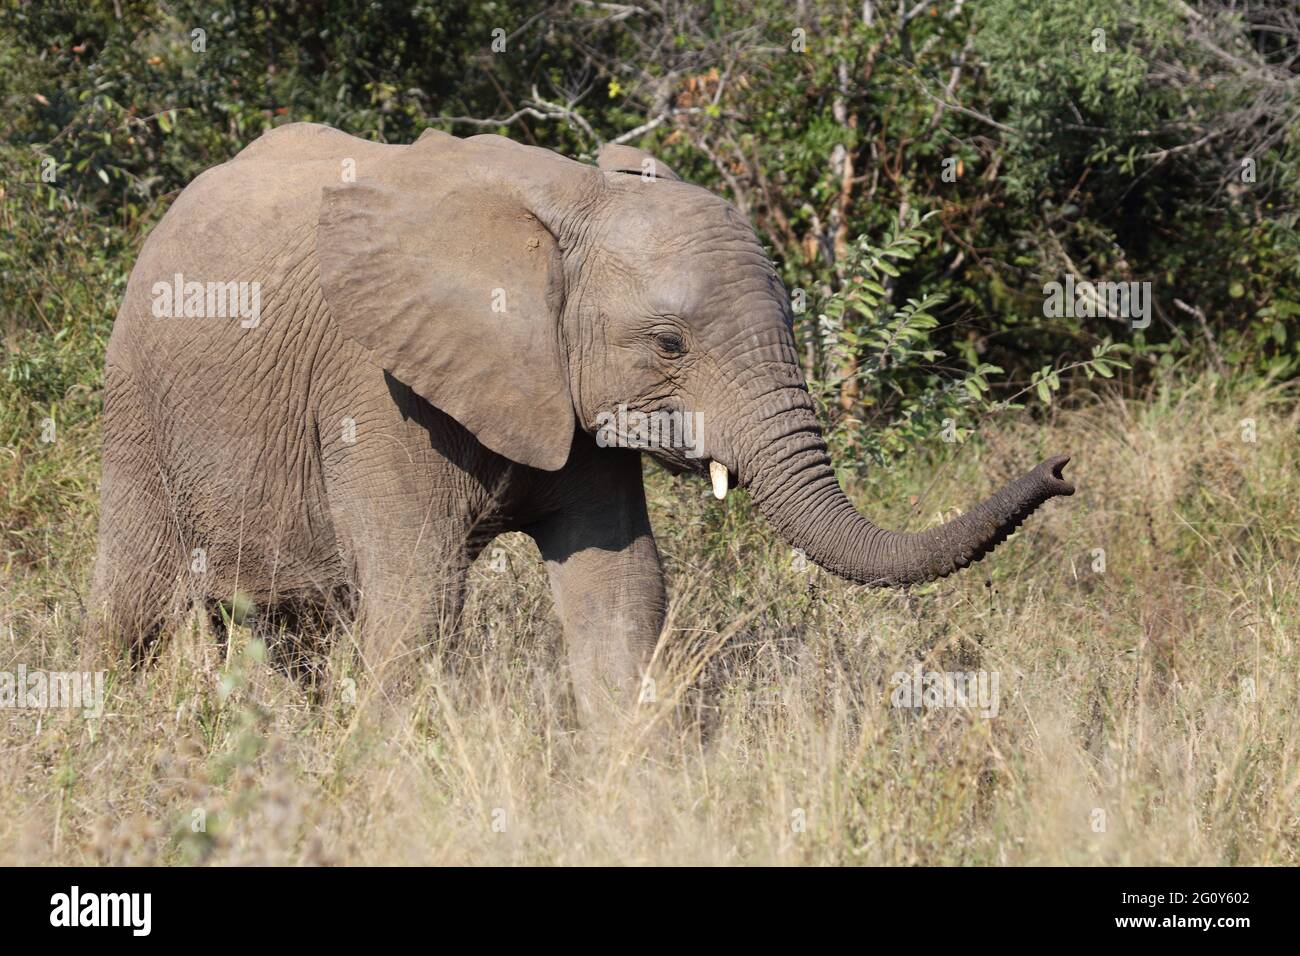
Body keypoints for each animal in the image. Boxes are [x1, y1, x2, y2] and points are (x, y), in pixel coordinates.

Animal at [90, 122, 1073, 722]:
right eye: (670, 343)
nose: (1061, 469)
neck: (576, 201)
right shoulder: (376, 386)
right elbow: (419, 599)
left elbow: (621, 587)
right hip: (135, 401)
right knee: (134, 609)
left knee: (285, 627)